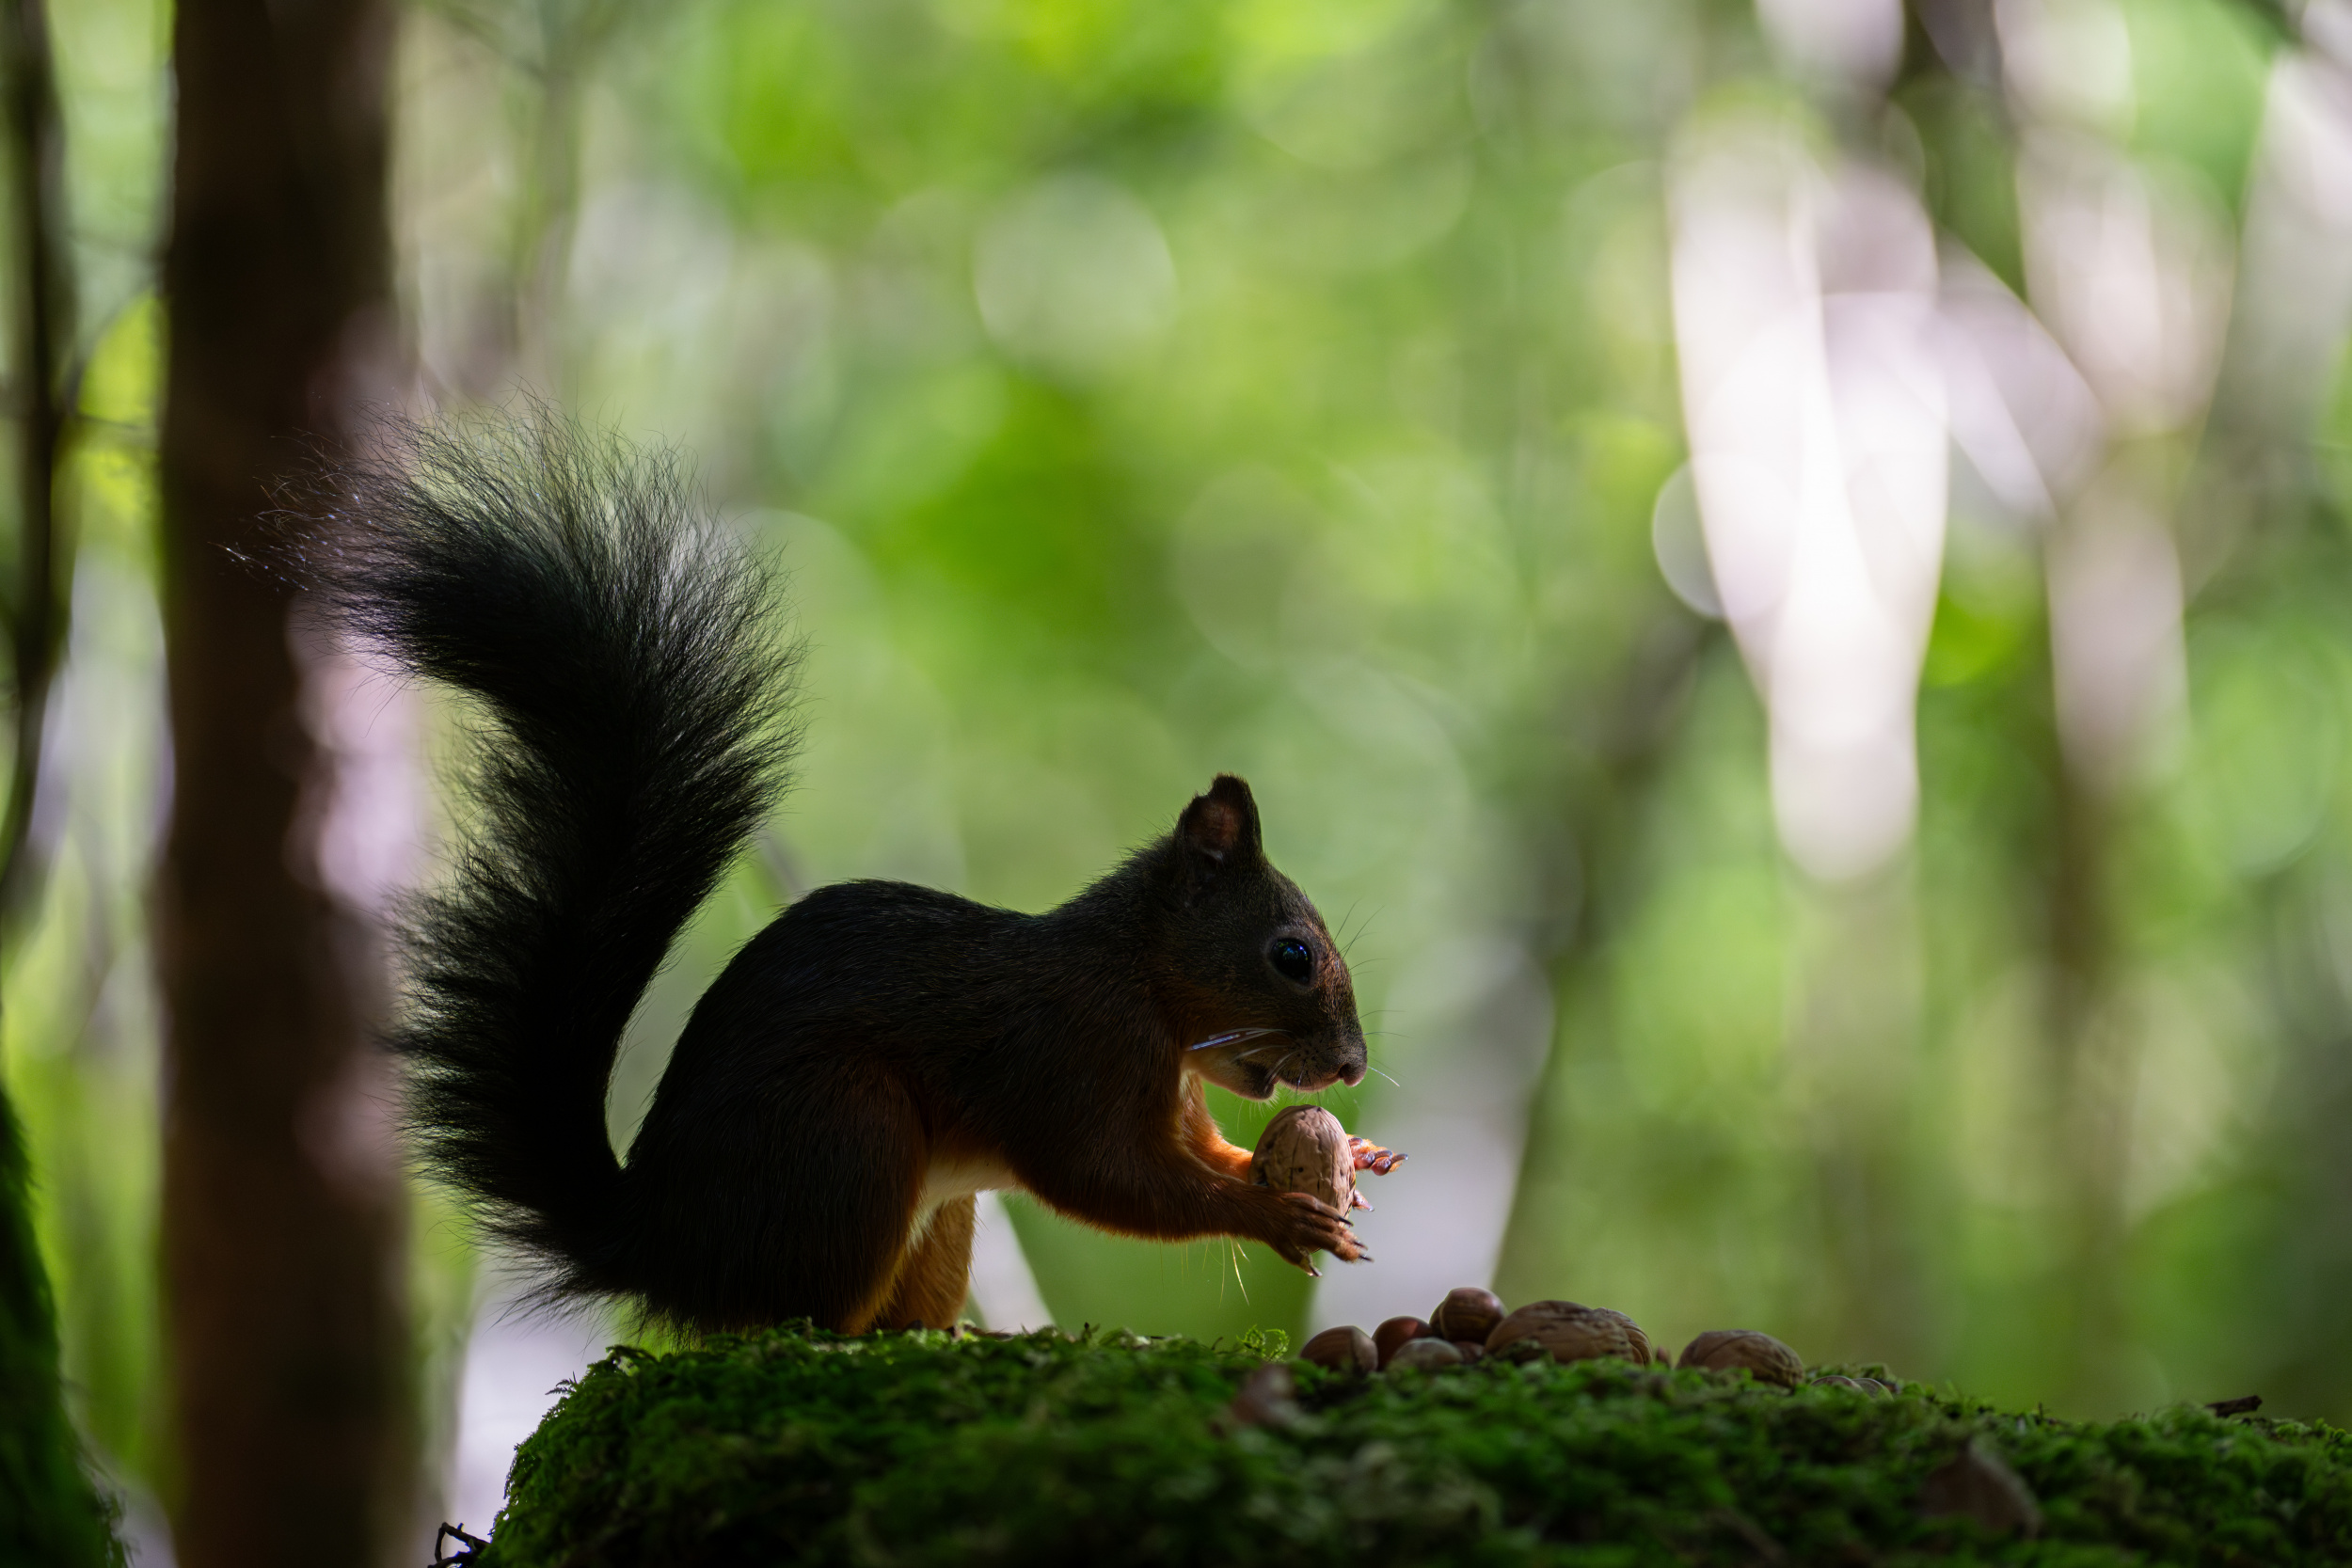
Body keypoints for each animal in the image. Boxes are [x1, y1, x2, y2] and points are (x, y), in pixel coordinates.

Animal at [292, 412, 1403, 1336]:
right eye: (1292, 954)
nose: (1353, 1066)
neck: (1144, 985)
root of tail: (658, 1247)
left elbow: (1196, 1152)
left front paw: (1341, 1158)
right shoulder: (1068, 1052)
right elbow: (1103, 1179)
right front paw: (1270, 1210)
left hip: (936, 1211)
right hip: (850, 1134)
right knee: (798, 1318)